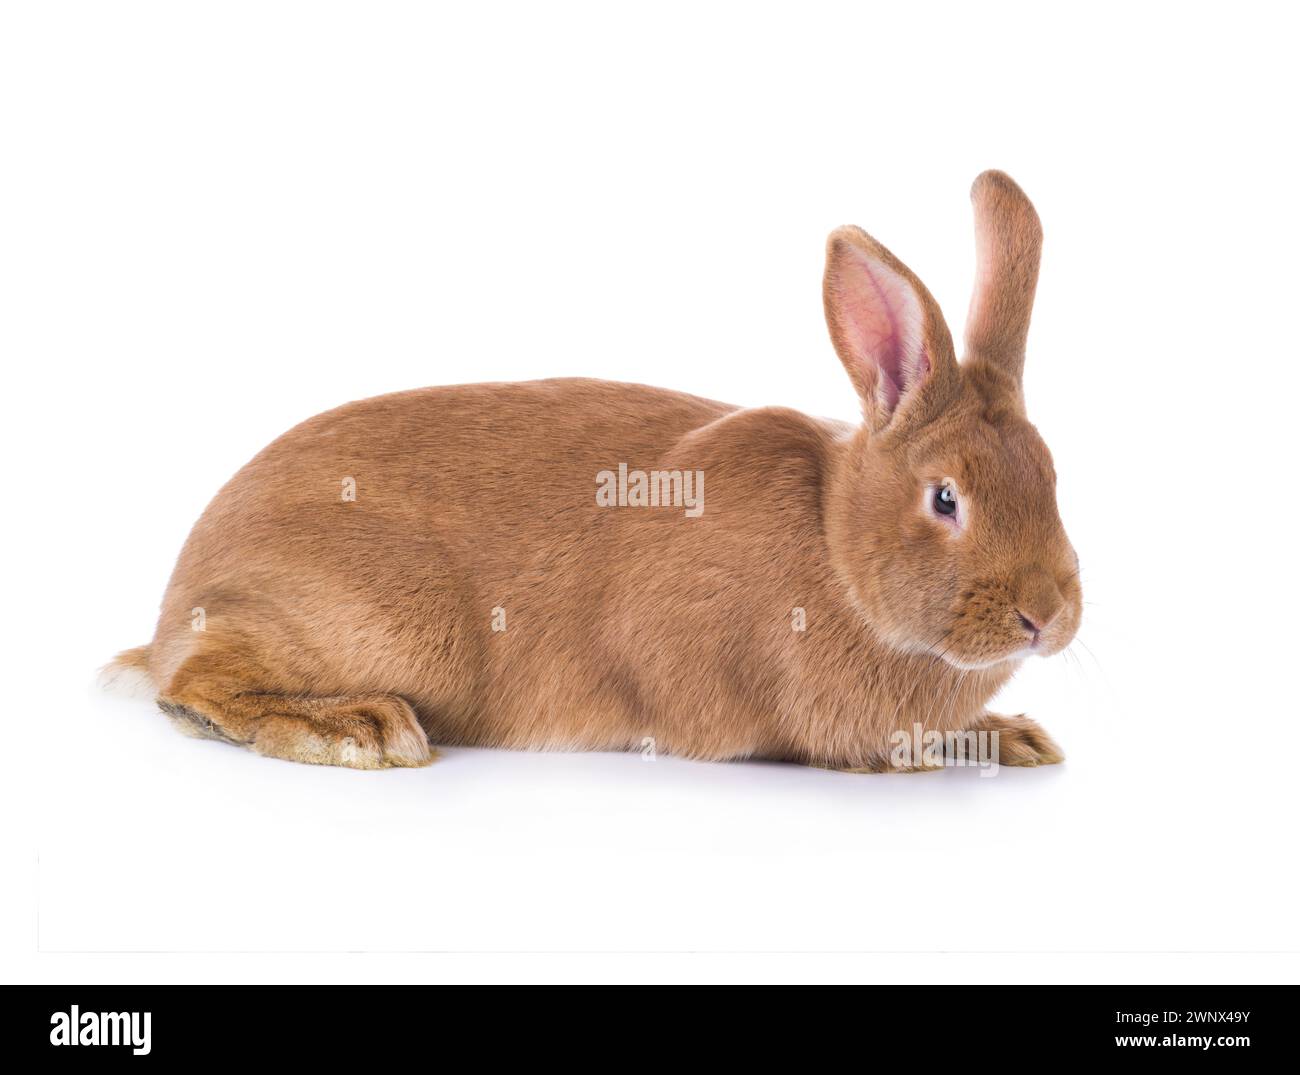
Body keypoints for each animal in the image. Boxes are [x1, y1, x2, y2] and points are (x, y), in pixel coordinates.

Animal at [105, 170, 1079, 772]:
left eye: (1052, 475)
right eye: (945, 498)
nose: (1047, 616)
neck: (836, 546)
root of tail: (176, 606)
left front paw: (1012, 736)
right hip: (394, 622)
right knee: (194, 685)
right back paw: (359, 727)